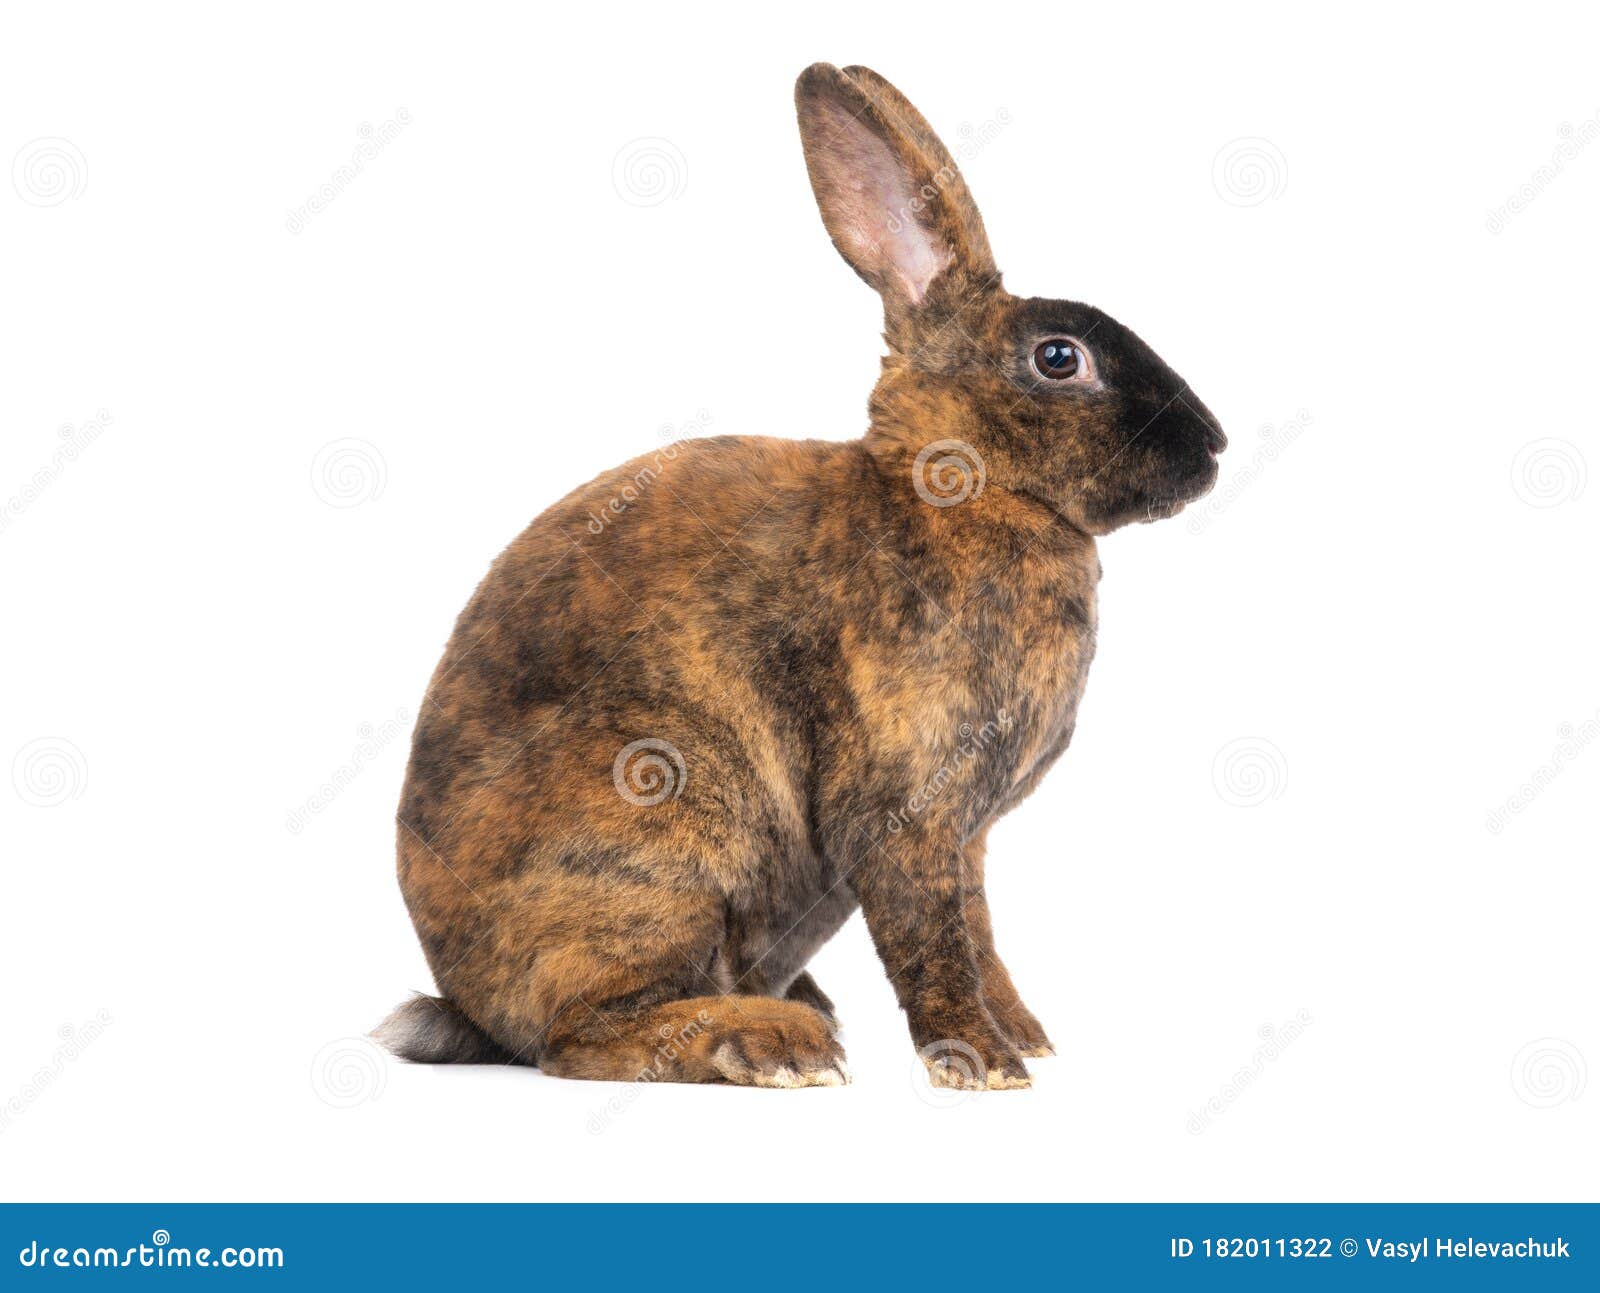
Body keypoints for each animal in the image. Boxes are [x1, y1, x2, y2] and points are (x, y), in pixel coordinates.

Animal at [376, 63, 1226, 1091]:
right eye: (1059, 358)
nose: (1212, 447)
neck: (961, 487)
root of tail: (467, 1003)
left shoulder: (966, 836)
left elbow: (978, 932)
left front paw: (1024, 1036)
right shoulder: (907, 813)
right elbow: (932, 940)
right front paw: (980, 1063)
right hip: (660, 831)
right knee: (582, 1036)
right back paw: (777, 1043)